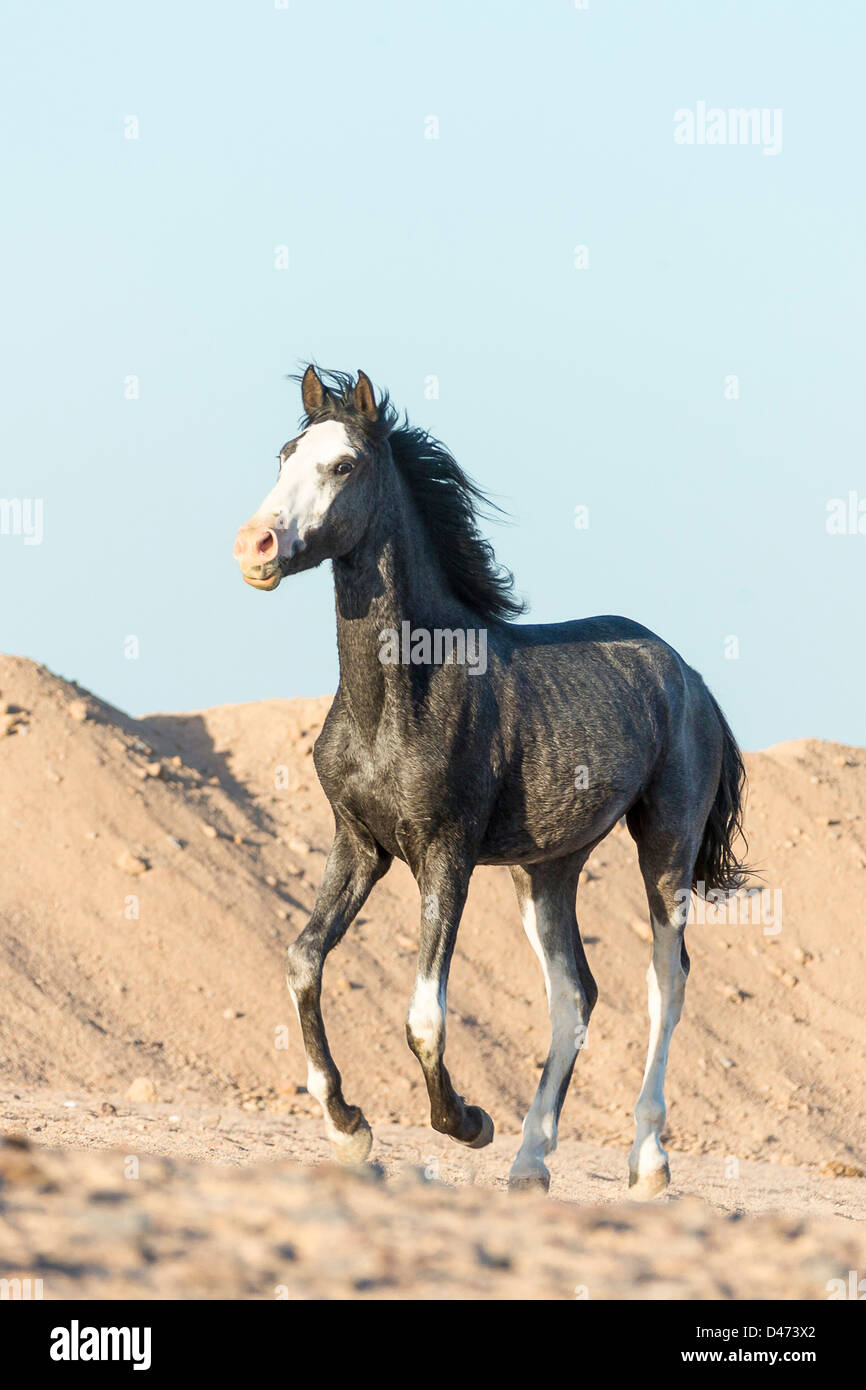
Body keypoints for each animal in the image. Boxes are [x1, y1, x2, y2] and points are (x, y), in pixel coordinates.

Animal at [233, 365, 747, 1196]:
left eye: (343, 465)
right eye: (283, 454)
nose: (256, 545)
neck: (399, 693)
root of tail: (690, 677)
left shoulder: (447, 852)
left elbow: (425, 1014)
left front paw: (467, 1121)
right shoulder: (360, 845)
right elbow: (304, 962)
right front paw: (349, 1128)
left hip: (665, 846)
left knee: (665, 982)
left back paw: (647, 1161)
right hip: (548, 869)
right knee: (575, 995)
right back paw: (530, 1163)